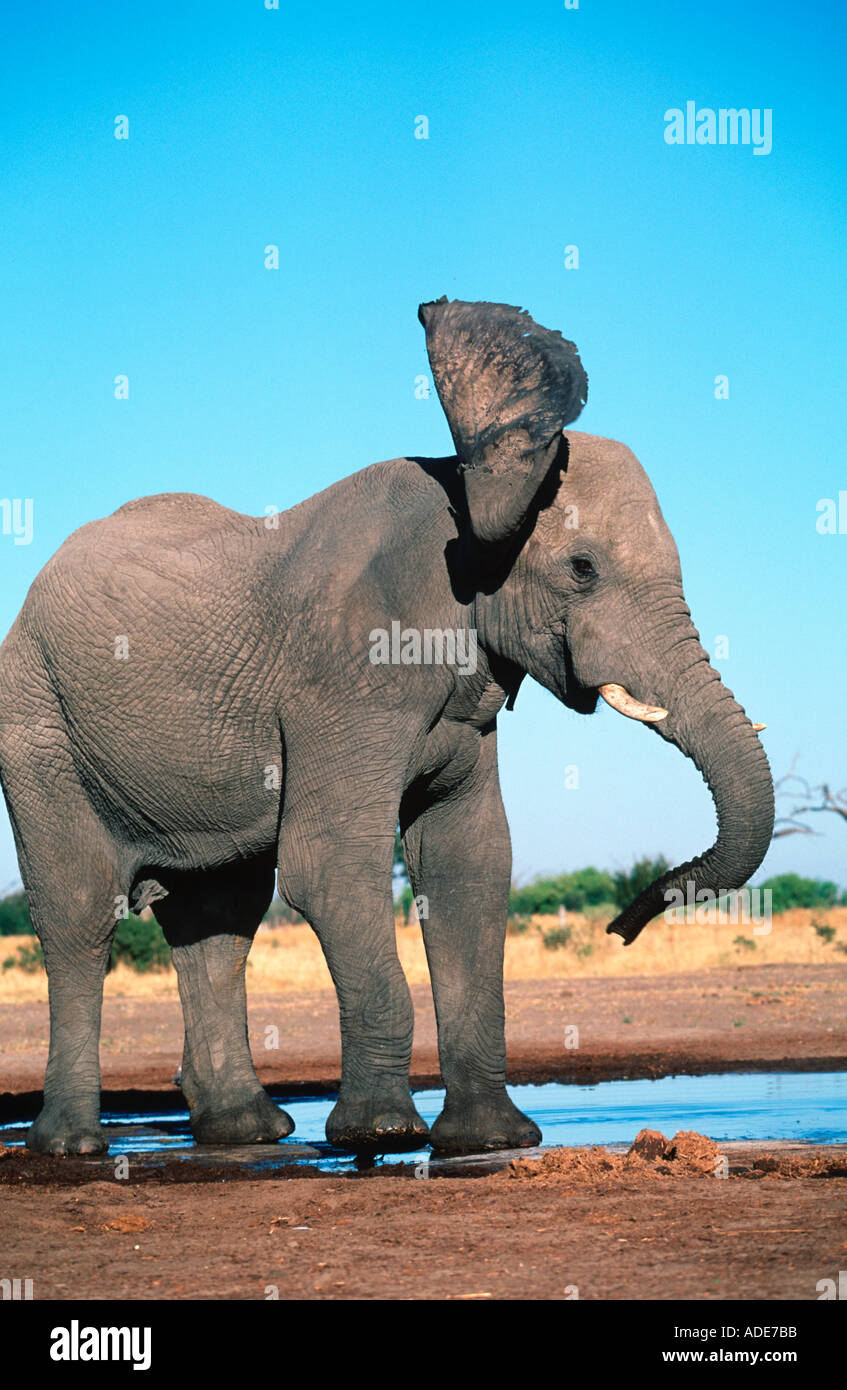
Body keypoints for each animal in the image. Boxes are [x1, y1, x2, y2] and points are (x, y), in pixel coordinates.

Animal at [0, 297, 774, 1157]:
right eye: (582, 569)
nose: (620, 926)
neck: (467, 494)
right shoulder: (346, 677)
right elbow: (331, 864)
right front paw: (382, 1133)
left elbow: (470, 865)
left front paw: (490, 1141)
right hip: (37, 720)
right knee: (78, 912)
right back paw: (73, 1146)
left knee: (219, 917)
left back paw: (246, 1131)